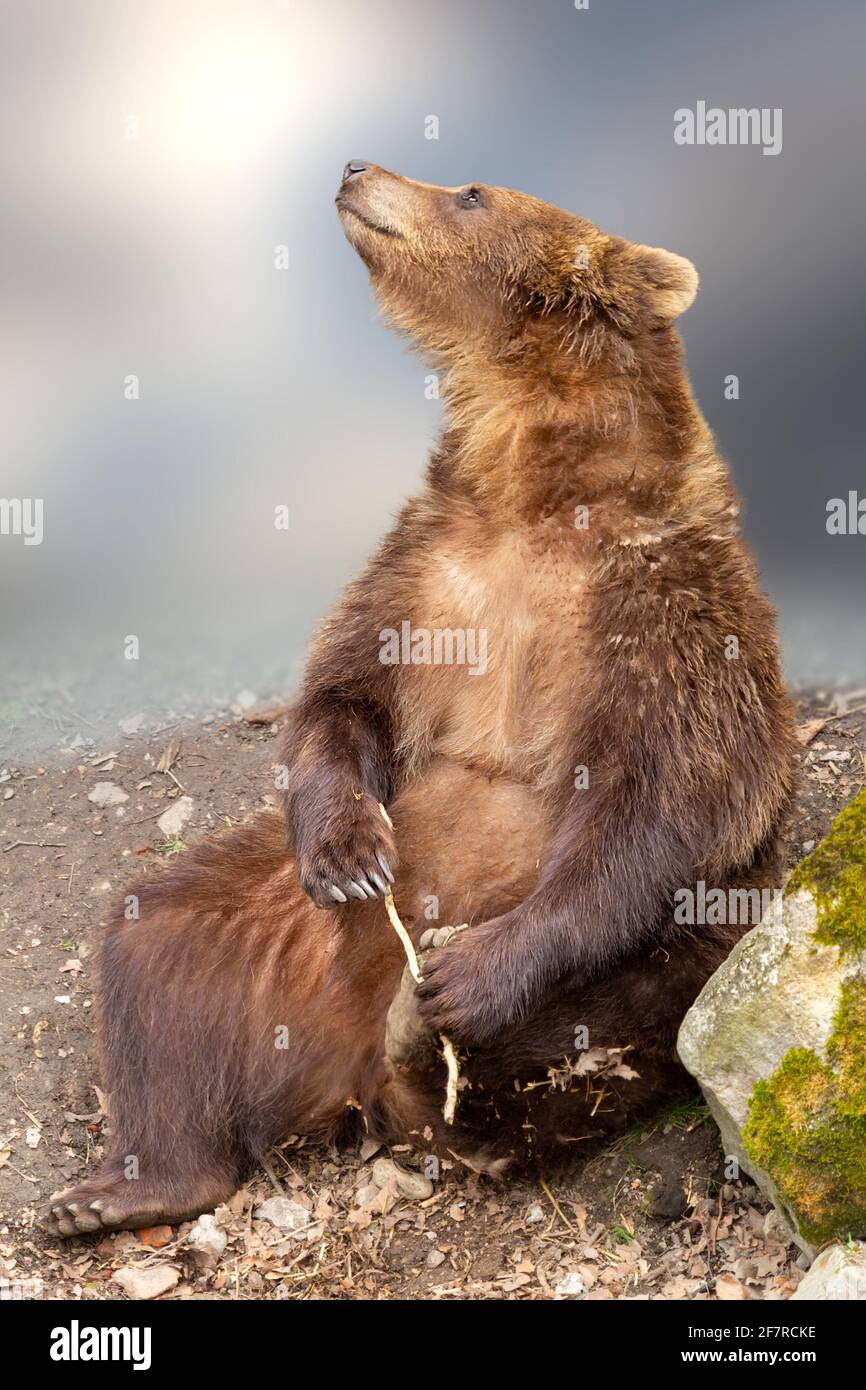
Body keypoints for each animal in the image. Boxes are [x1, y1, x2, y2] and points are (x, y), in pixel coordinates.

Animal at [42, 162, 796, 1236]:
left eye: (474, 191)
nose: (359, 168)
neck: (540, 486)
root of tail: (344, 1065)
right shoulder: (433, 570)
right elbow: (343, 695)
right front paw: (348, 848)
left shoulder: (664, 613)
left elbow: (663, 801)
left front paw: (472, 973)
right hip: (268, 916)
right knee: (159, 940)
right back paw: (120, 1186)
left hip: (705, 951)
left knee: (633, 1006)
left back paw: (429, 1026)